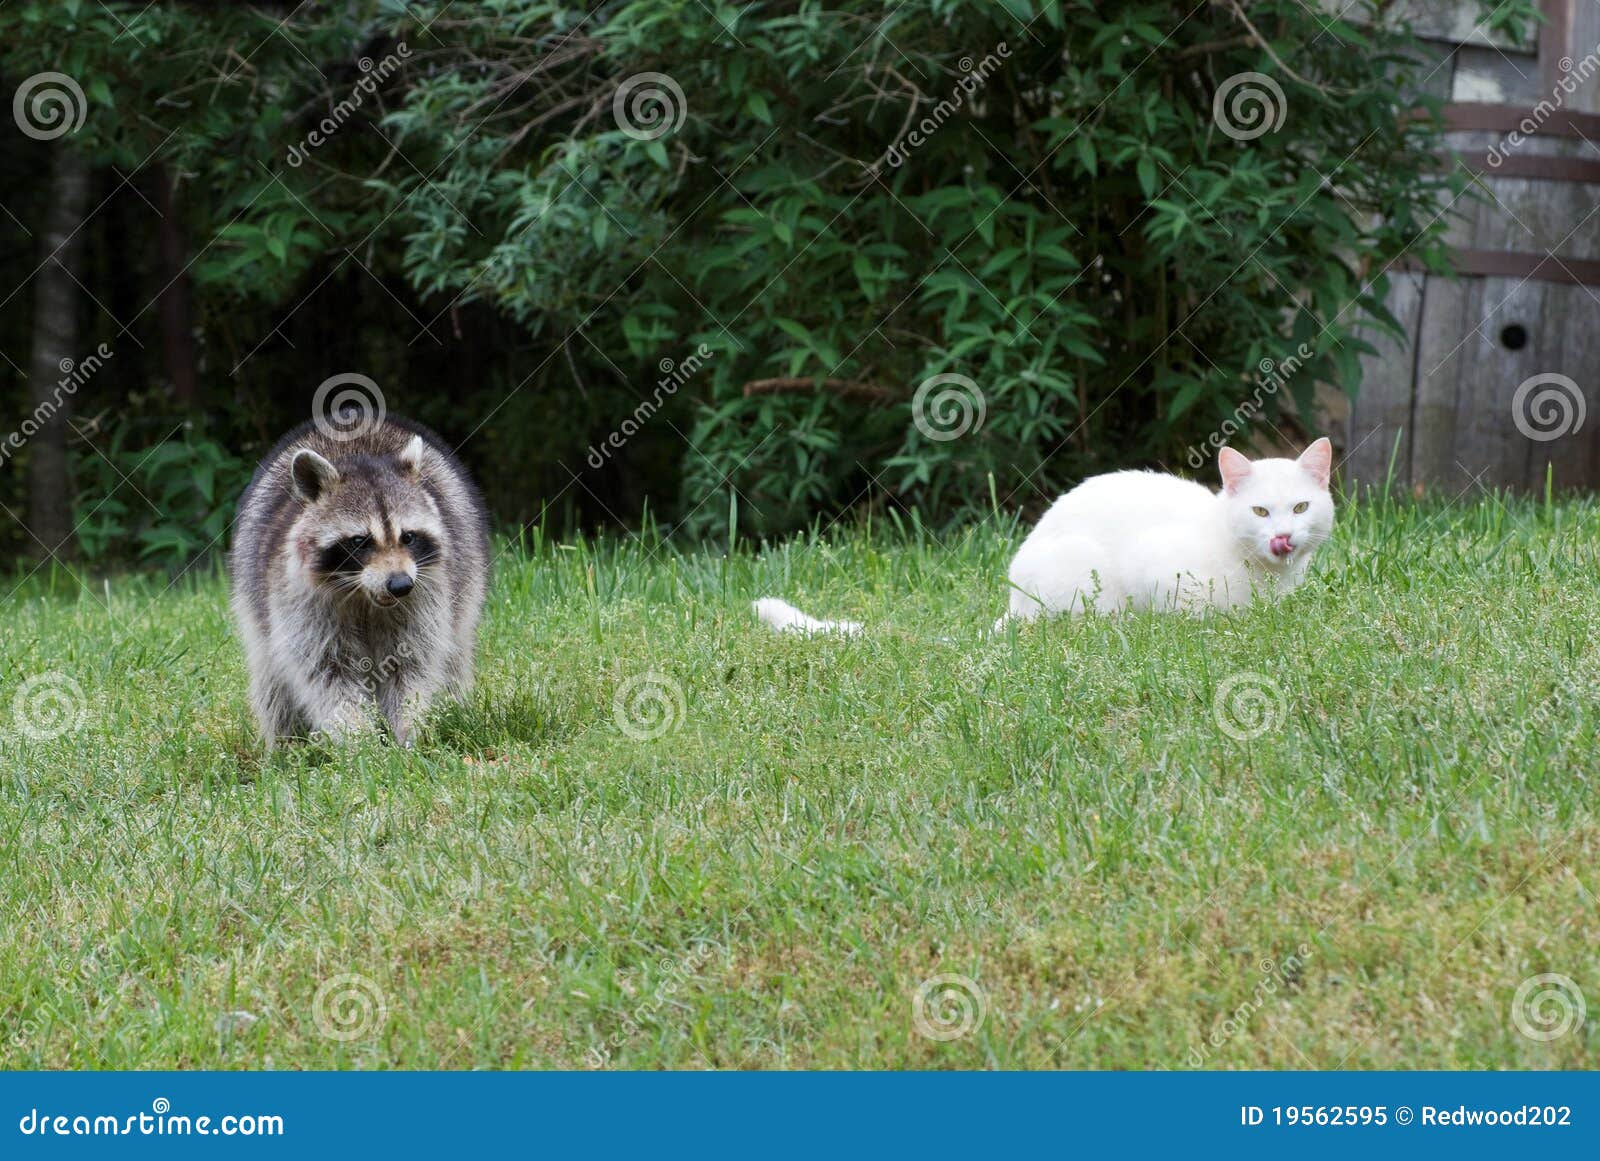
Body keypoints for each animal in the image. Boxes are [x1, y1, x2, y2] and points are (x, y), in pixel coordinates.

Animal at [229, 415, 489, 746]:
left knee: (454, 656)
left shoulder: (428, 591)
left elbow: (410, 664)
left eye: (408, 537)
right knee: (272, 682)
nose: (400, 585)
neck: (364, 595)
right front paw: (360, 741)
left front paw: (406, 730)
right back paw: (285, 744)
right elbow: (328, 672)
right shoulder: (298, 599)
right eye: (359, 541)